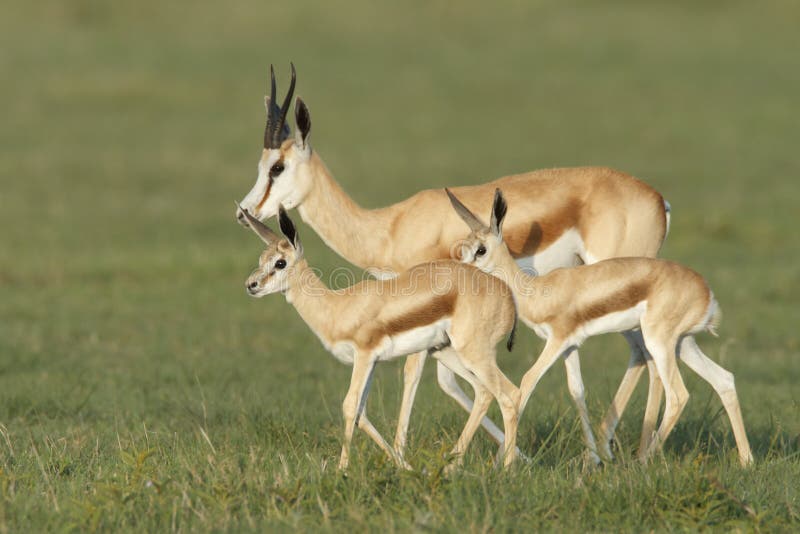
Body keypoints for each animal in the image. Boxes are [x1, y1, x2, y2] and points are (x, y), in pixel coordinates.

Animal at [238, 206, 521, 470]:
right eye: (262, 258)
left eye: (280, 263)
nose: (251, 285)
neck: (336, 307)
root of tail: (507, 294)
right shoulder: (371, 362)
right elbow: (361, 414)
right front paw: (404, 467)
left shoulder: (364, 356)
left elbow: (349, 405)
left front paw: (341, 470)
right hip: (446, 352)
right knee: (484, 392)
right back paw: (452, 467)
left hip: (473, 354)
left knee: (509, 395)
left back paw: (506, 470)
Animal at [447, 188, 754, 466]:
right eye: (462, 250)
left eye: (481, 250)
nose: (461, 274)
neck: (536, 291)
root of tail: (707, 293)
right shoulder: (570, 346)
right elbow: (576, 390)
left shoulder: (557, 341)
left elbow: (526, 381)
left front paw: (500, 462)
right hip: (682, 345)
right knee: (724, 380)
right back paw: (746, 461)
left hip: (659, 343)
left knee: (678, 395)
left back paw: (643, 462)